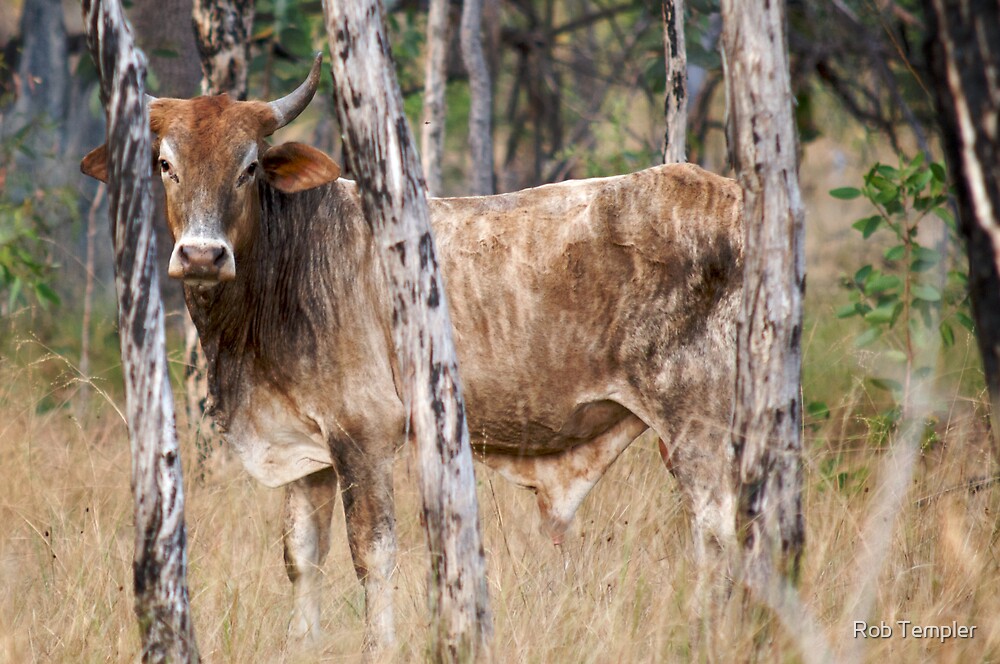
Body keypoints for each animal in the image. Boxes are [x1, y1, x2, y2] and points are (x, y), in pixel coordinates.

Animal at [81, 55, 743, 652]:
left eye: (248, 168)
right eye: (166, 164)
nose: (201, 255)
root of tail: (732, 196)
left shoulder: (363, 436)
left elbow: (372, 555)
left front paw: (380, 643)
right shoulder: (303, 450)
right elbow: (302, 556)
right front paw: (302, 642)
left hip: (696, 422)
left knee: (716, 530)